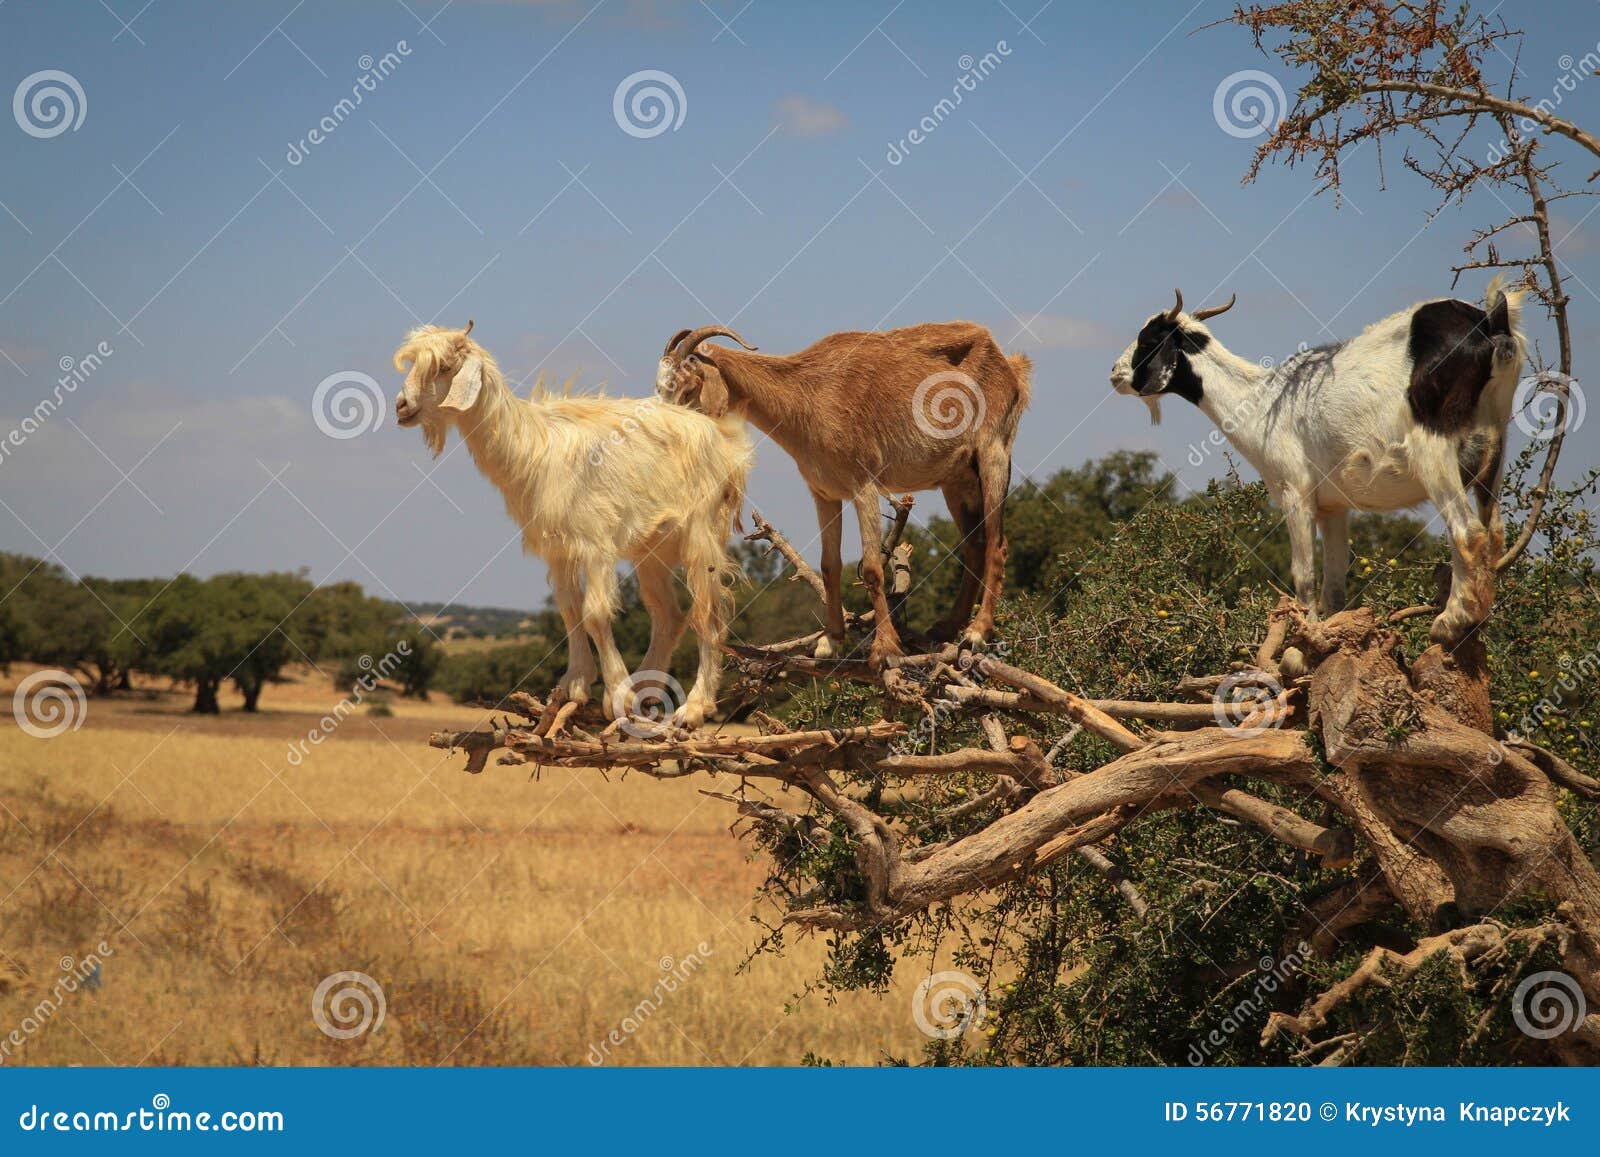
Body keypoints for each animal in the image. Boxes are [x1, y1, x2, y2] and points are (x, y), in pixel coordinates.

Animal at [393, 322, 750, 728]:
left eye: (443, 367)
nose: (401, 406)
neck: (532, 446)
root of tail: (728, 445)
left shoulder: (595, 545)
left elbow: (594, 613)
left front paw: (618, 696)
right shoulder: (558, 549)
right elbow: (569, 610)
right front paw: (576, 684)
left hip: (701, 536)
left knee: (707, 616)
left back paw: (693, 707)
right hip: (651, 551)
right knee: (668, 616)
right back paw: (647, 687)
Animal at [656, 323, 1032, 665]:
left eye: (689, 386)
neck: (805, 395)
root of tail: (1011, 366)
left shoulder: (864, 485)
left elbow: (872, 568)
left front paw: (884, 649)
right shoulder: (825, 493)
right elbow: (829, 564)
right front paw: (831, 640)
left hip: (994, 454)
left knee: (997, 543)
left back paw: (977, 633)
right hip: (958, 480)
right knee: (975, 544)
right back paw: (948, 628)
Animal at [1110, 282, 1525, 644]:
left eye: (1148, 341)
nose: (1114, 373)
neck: (1261, 401)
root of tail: (1490, 324)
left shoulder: (1296, 492)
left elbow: (1304, 574)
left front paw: (1300, 641)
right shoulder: (1333, 507)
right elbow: (1335, 584)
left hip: (1433, 450)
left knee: (1468, 532)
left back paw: (1451, 622)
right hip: (1494, 446)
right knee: (1494, 532)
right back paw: (1476, 618)